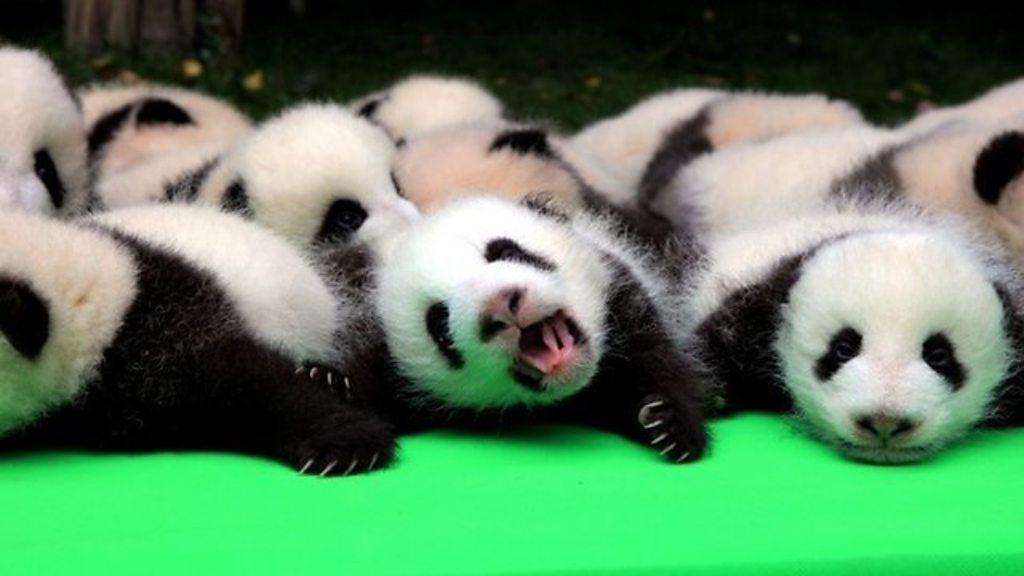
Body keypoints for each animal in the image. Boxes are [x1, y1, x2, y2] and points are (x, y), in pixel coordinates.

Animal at [317, 196, 709, 471]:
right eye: (439, 323)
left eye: (507, 251)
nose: (503, 306)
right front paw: (331, 386)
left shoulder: (624, 299)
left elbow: (659, 362)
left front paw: (669, 424)